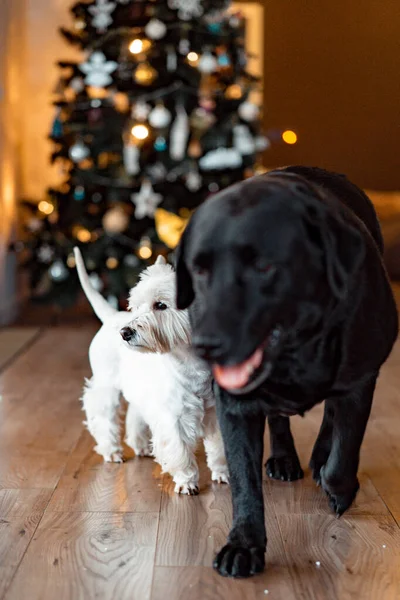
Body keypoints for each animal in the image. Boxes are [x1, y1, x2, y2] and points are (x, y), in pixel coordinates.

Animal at [72, 246, 228, 494]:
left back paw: (141, 446)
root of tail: (112, 317)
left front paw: (222, 474)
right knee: (104, 416)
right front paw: (187, 482)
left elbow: (219, 448)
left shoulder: (216, 414)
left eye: (161, 305)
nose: (125, 332)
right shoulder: (174, 418)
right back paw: (112, 451)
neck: (192, 364)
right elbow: (180, 451)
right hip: (106, 386)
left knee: (135, 415)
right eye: (135, 305)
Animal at [175, 166, 396, 580]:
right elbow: (244, 481)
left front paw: (338, 487)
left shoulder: (361, 379)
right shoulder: (235, 404)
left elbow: (344, 452)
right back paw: (284, 458)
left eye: (264, 267)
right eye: (199, 269)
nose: (206, 344)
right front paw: (244, 544)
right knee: (279, 419)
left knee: (330, 417)